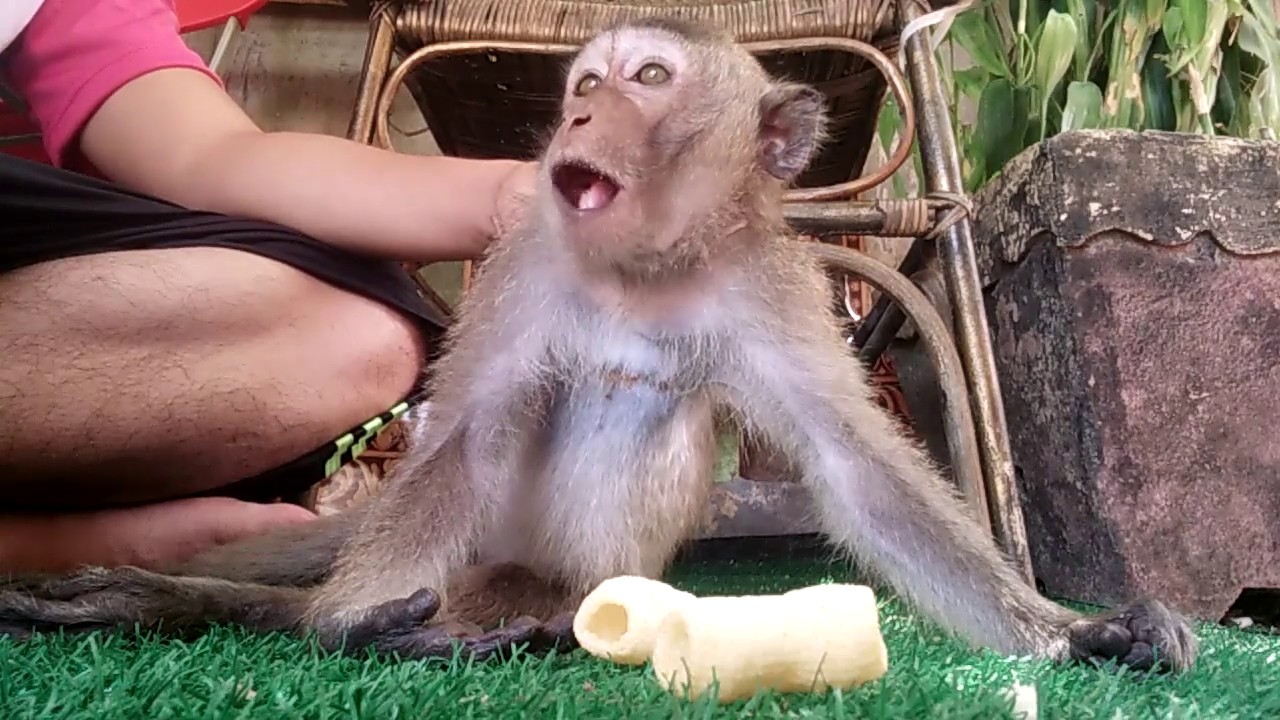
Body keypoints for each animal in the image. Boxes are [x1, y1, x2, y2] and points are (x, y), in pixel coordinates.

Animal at [0, 16, 1197, 674]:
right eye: (584, 84)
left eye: (648, 81)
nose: (575, 122)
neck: (642, 269)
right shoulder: (526, 262)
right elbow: (468, 435)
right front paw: (350, 629)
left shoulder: (770, 285)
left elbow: (851, 464)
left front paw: (1069, 630)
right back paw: (224, 599)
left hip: (559, 574)